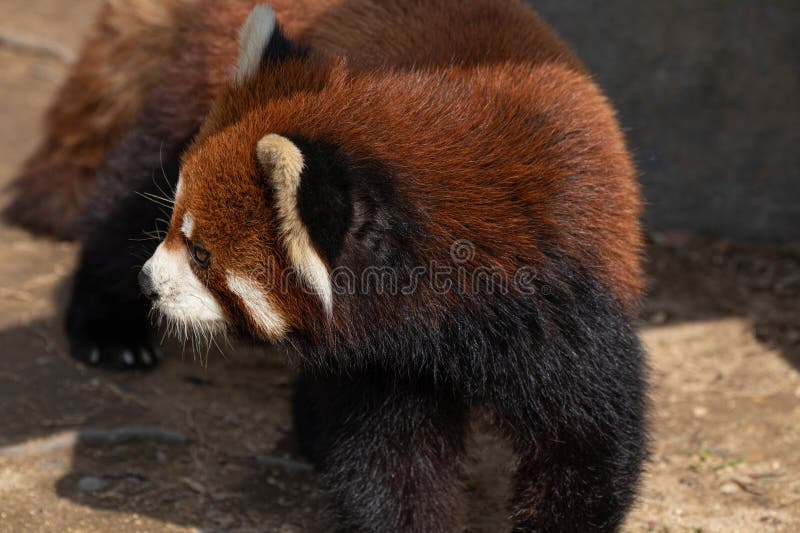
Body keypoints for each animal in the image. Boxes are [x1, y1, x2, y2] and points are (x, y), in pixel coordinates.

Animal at [7, 1, 648, 531]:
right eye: (180, 236)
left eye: (202, 254)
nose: (151, 282)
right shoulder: (385, 358)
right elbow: (388, 462)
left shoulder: (562, 291)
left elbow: (585, 445)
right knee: (124, 203)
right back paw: (108, 327)